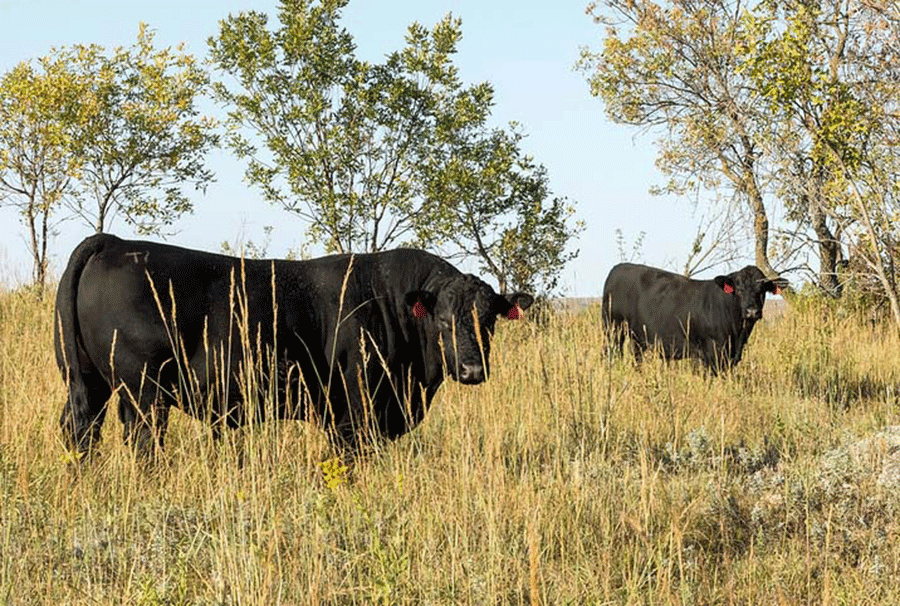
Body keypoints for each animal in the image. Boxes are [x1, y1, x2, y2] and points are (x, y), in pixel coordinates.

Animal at [55, 234, 533, 460]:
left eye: (489, 320)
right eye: (443, 321)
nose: (472, 370)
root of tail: (115, 242)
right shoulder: (356, 410)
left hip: (88, 384)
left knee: (79, 432)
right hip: (143, 390)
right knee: (142, 443)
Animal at [602, 263, 779, 372]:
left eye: (762, 290)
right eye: (740, 289)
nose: (752, 311)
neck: (738, 334)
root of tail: (618, 268)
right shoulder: (712, 353)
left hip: (637, 338)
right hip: (613, 330)